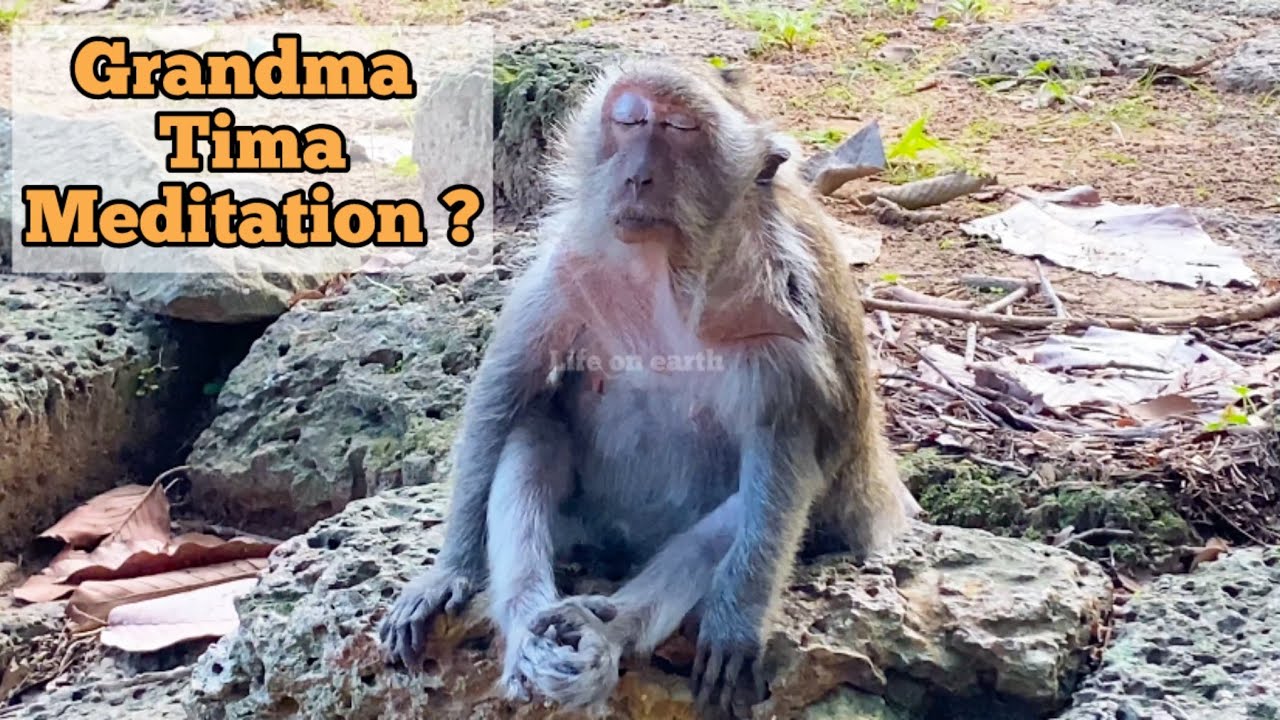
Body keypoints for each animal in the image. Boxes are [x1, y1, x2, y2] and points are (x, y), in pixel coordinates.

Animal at [380, 58, 920, 718]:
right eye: (630, 121)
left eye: (680, 129)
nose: (637, 175)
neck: (666, 270)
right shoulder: (565, 272)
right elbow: (503, 396)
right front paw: (449, 572)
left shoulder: (783, 321)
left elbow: (785, 451)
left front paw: (736, 621)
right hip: (587, 519)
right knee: (533, 432)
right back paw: (532, 625)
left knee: (751, 508)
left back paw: (607, 627)